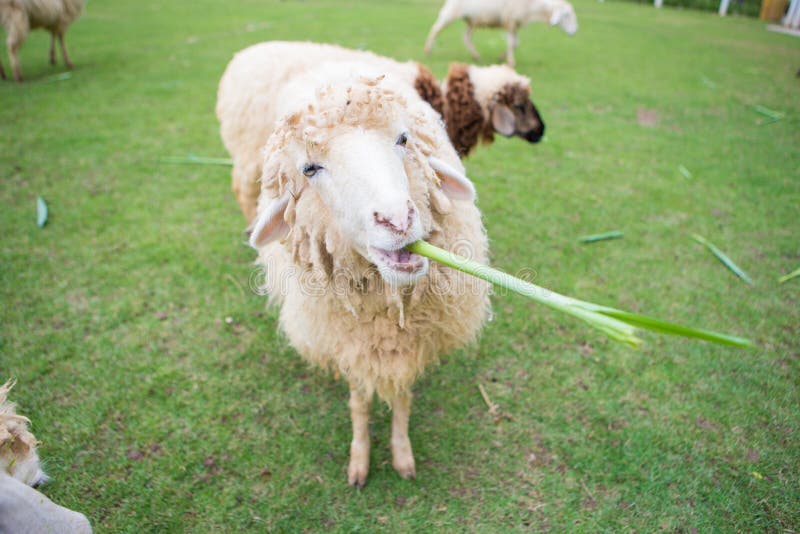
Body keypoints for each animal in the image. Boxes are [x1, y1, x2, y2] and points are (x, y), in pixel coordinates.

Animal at [217, 41, 544, 222]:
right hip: (249, 150)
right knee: (242, 189)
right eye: (520, 106)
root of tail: (235, 64)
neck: (447, 102)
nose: (541, 131)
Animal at [221, 47, 491, 486]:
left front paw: (402, 454)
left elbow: (402, 397)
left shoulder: (408, 341)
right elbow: (360, 401)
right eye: (309, 168)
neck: (387, 306)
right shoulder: (346, 338)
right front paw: (360, 459)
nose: (397, 220)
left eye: (403, 139)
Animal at [424, 0, 578, 67]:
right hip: (450, 13)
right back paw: (428, 51)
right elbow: (511, 43)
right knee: (435, 29)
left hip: (472, 21)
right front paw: (511, 62)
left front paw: (501, 57)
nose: (575, 32)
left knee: (466, 37)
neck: (534, 8)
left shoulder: (515, 24)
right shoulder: (510, 21)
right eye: (567, 15)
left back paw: (476, 56)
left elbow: (515, 43)